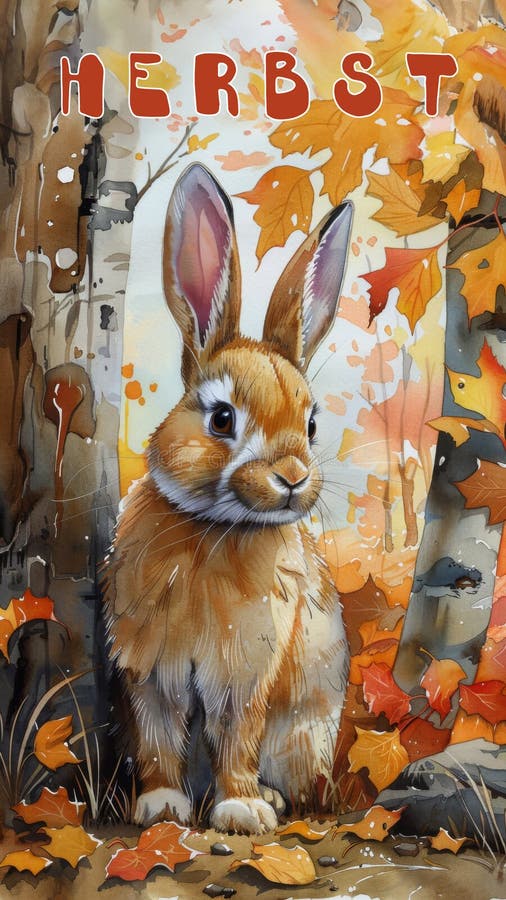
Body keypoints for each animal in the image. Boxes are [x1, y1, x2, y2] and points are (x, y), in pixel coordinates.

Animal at [102, 163, 352, 835]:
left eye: (310, 425)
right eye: (221, 419)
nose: (293, 477)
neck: (215, 528)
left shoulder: (245, 674)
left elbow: (238, 735)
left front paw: (240, 810)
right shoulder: (150, 670)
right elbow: (158, 738)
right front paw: (161, 806)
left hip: (305, 732)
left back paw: (270, 800)